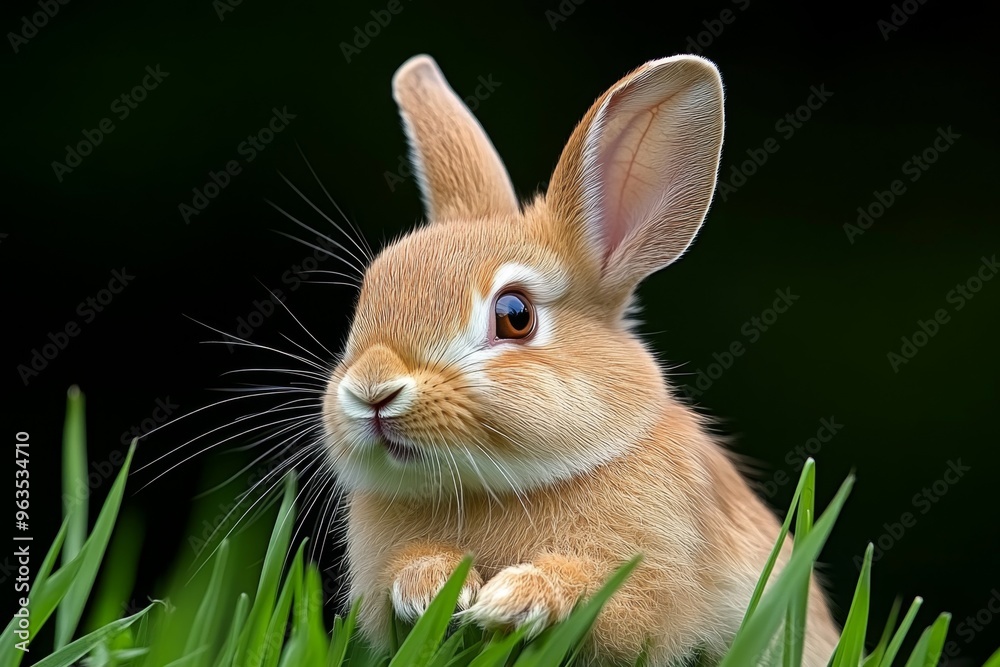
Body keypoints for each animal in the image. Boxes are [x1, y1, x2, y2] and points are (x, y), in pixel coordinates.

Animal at [320, 53, 841, 666]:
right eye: (367, 298)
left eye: (515, 315)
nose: (372, 390)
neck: (496, 489)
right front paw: (433, 585)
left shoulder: (653, 573)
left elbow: (609, 599)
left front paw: (515, 597)